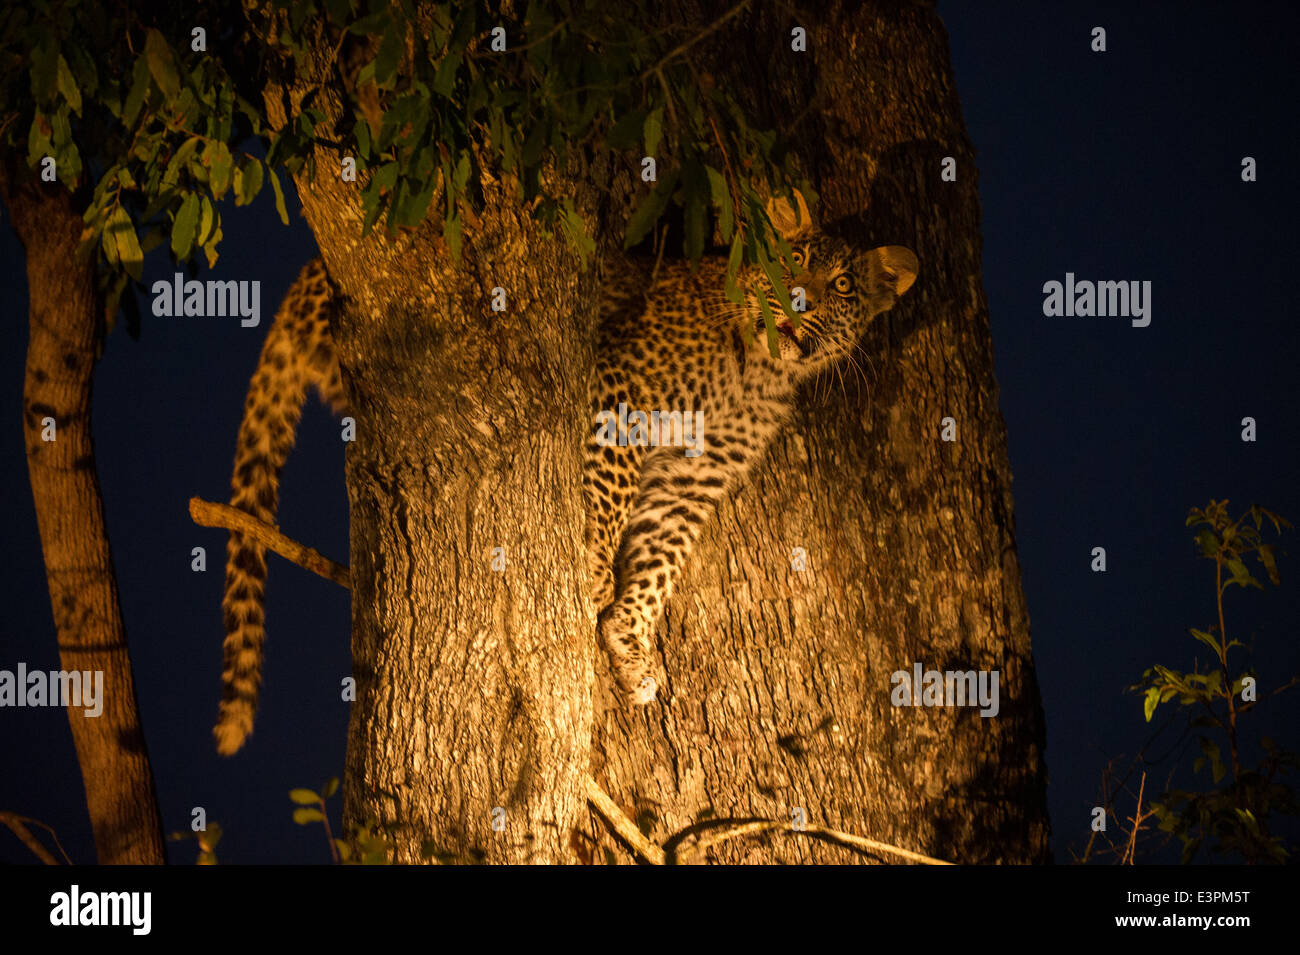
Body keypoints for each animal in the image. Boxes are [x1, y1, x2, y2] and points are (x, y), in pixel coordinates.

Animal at [211, 191, 916, 753]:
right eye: (792, 261)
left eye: (844, 287)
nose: (801, 304)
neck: (761, 369)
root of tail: (303, 279)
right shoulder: (621, 390)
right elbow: (608, 491)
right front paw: (594, 568)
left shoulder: (696, 476)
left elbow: (662, 558)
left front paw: (631, 642)